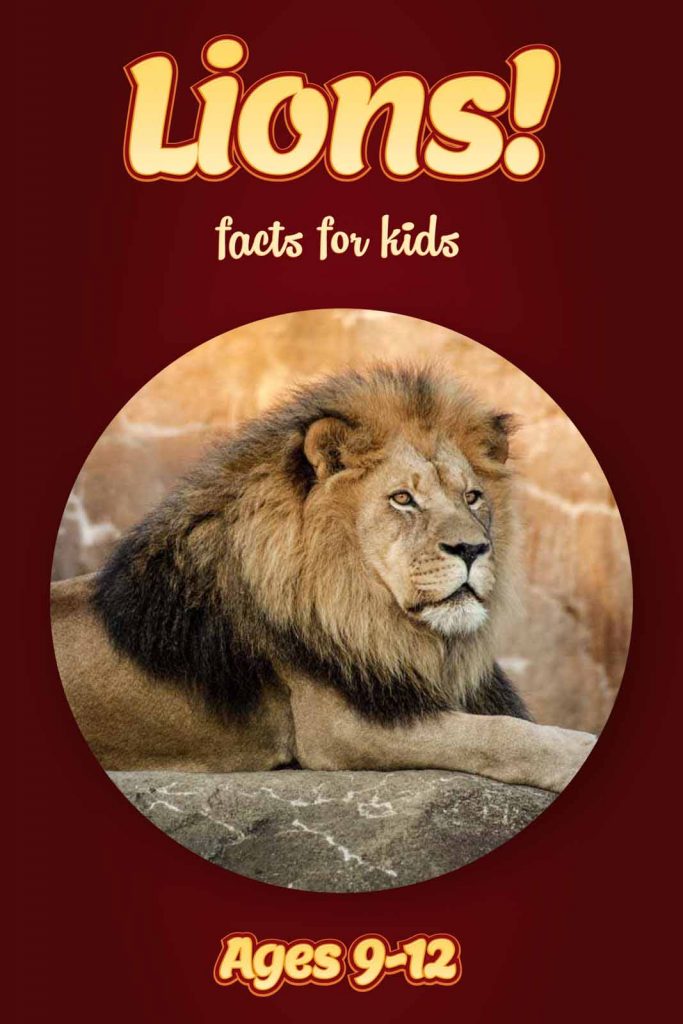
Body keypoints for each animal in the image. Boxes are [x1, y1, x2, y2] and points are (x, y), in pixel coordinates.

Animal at [50, 365, 595, 791]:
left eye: (473, 497)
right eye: (403, 499)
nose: (472, 549)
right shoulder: (338, 727)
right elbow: (495, 734)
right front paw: (575, 752)